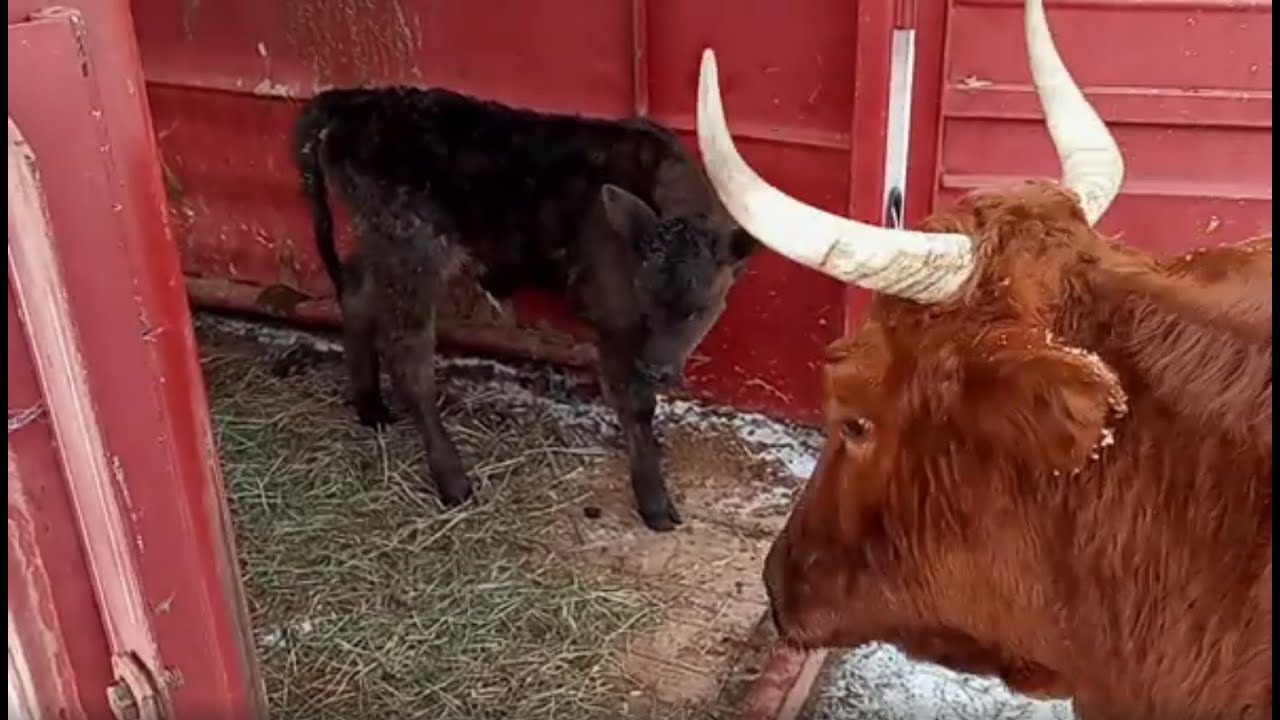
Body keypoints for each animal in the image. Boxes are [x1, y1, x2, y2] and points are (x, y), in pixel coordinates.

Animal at [293, 86, 758, 532]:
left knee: (355, 291)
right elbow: (636, 401)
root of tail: (353, 100)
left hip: (384, 246)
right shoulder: (613, 311)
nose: (658, 368)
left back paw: (370, 407)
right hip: (412, 249)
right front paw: (655, 504)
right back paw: (453, 481)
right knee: (410, 360)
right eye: (644, 297)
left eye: (700, 308)